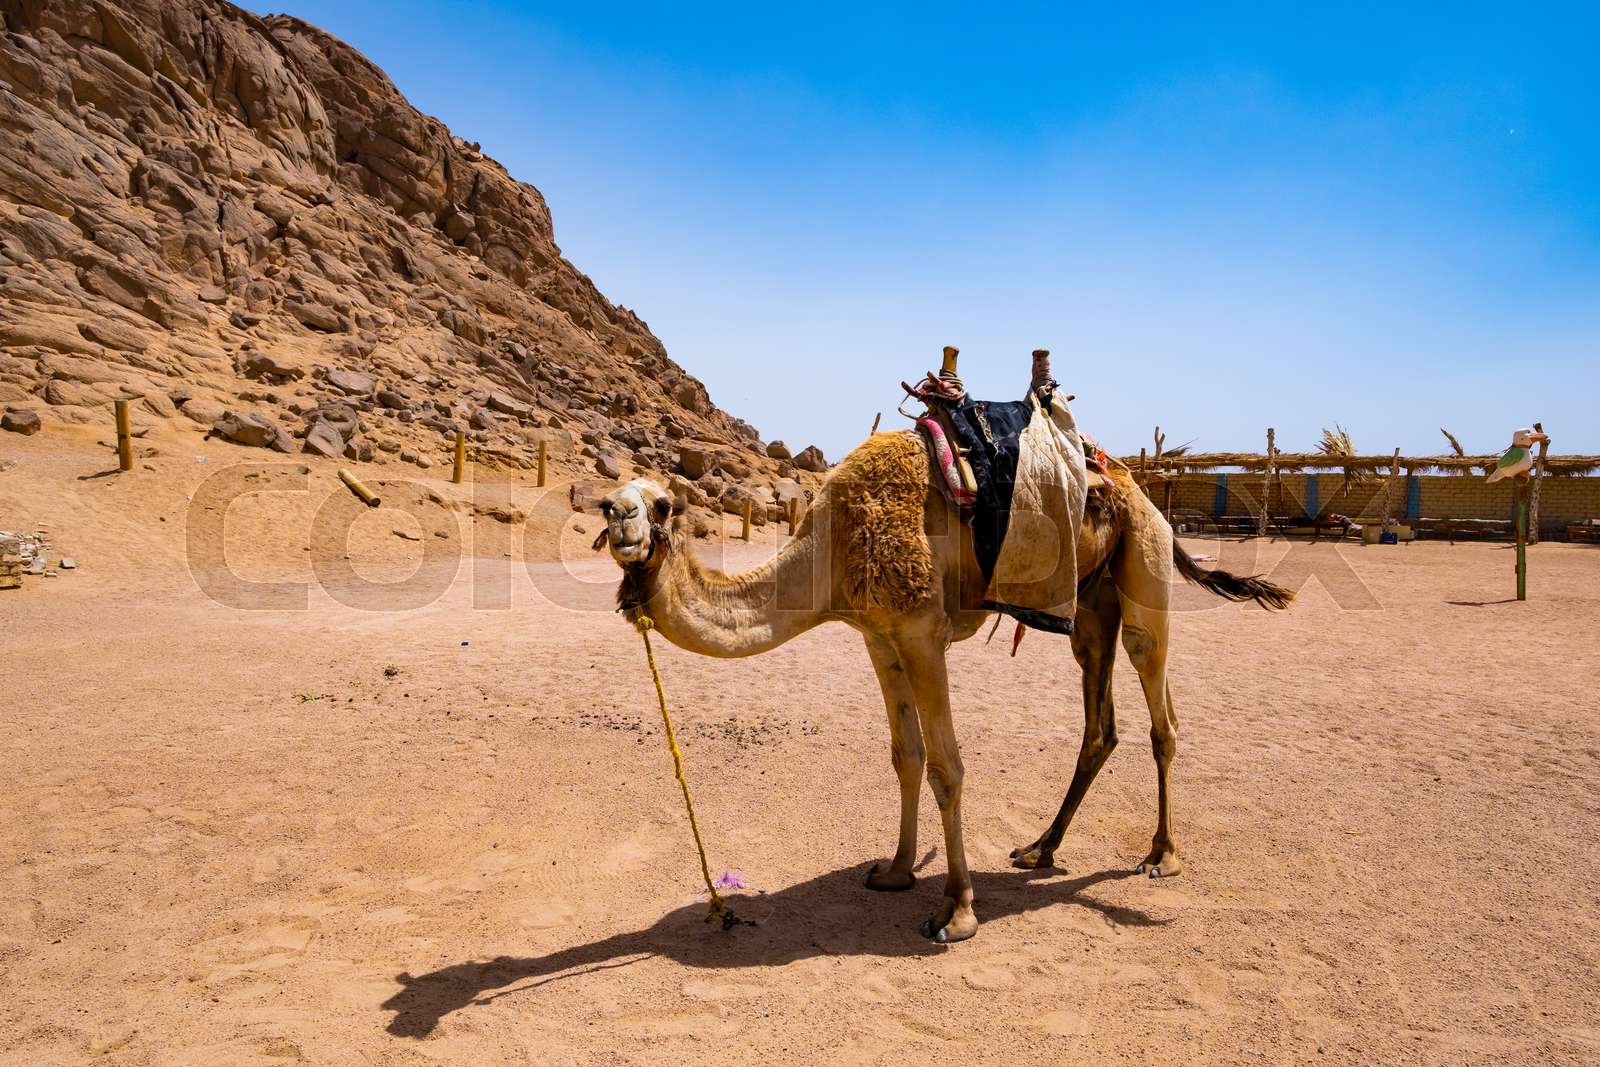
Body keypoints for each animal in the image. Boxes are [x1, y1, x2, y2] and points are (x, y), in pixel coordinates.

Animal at [596, 430, 1293, 943]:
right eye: (610, 501)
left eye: (662, 504)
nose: (624, 518)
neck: (830, 552)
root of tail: (1139, 489)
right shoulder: (879, 637)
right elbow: (906, 756)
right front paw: (895, 870)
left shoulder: (921, 630)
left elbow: (947, 767)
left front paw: (956, 911)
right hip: (1090, 606)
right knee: (1102, 724)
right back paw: (1039, 850)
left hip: (1142, 569)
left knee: (1160, 712)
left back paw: (1161, 855)